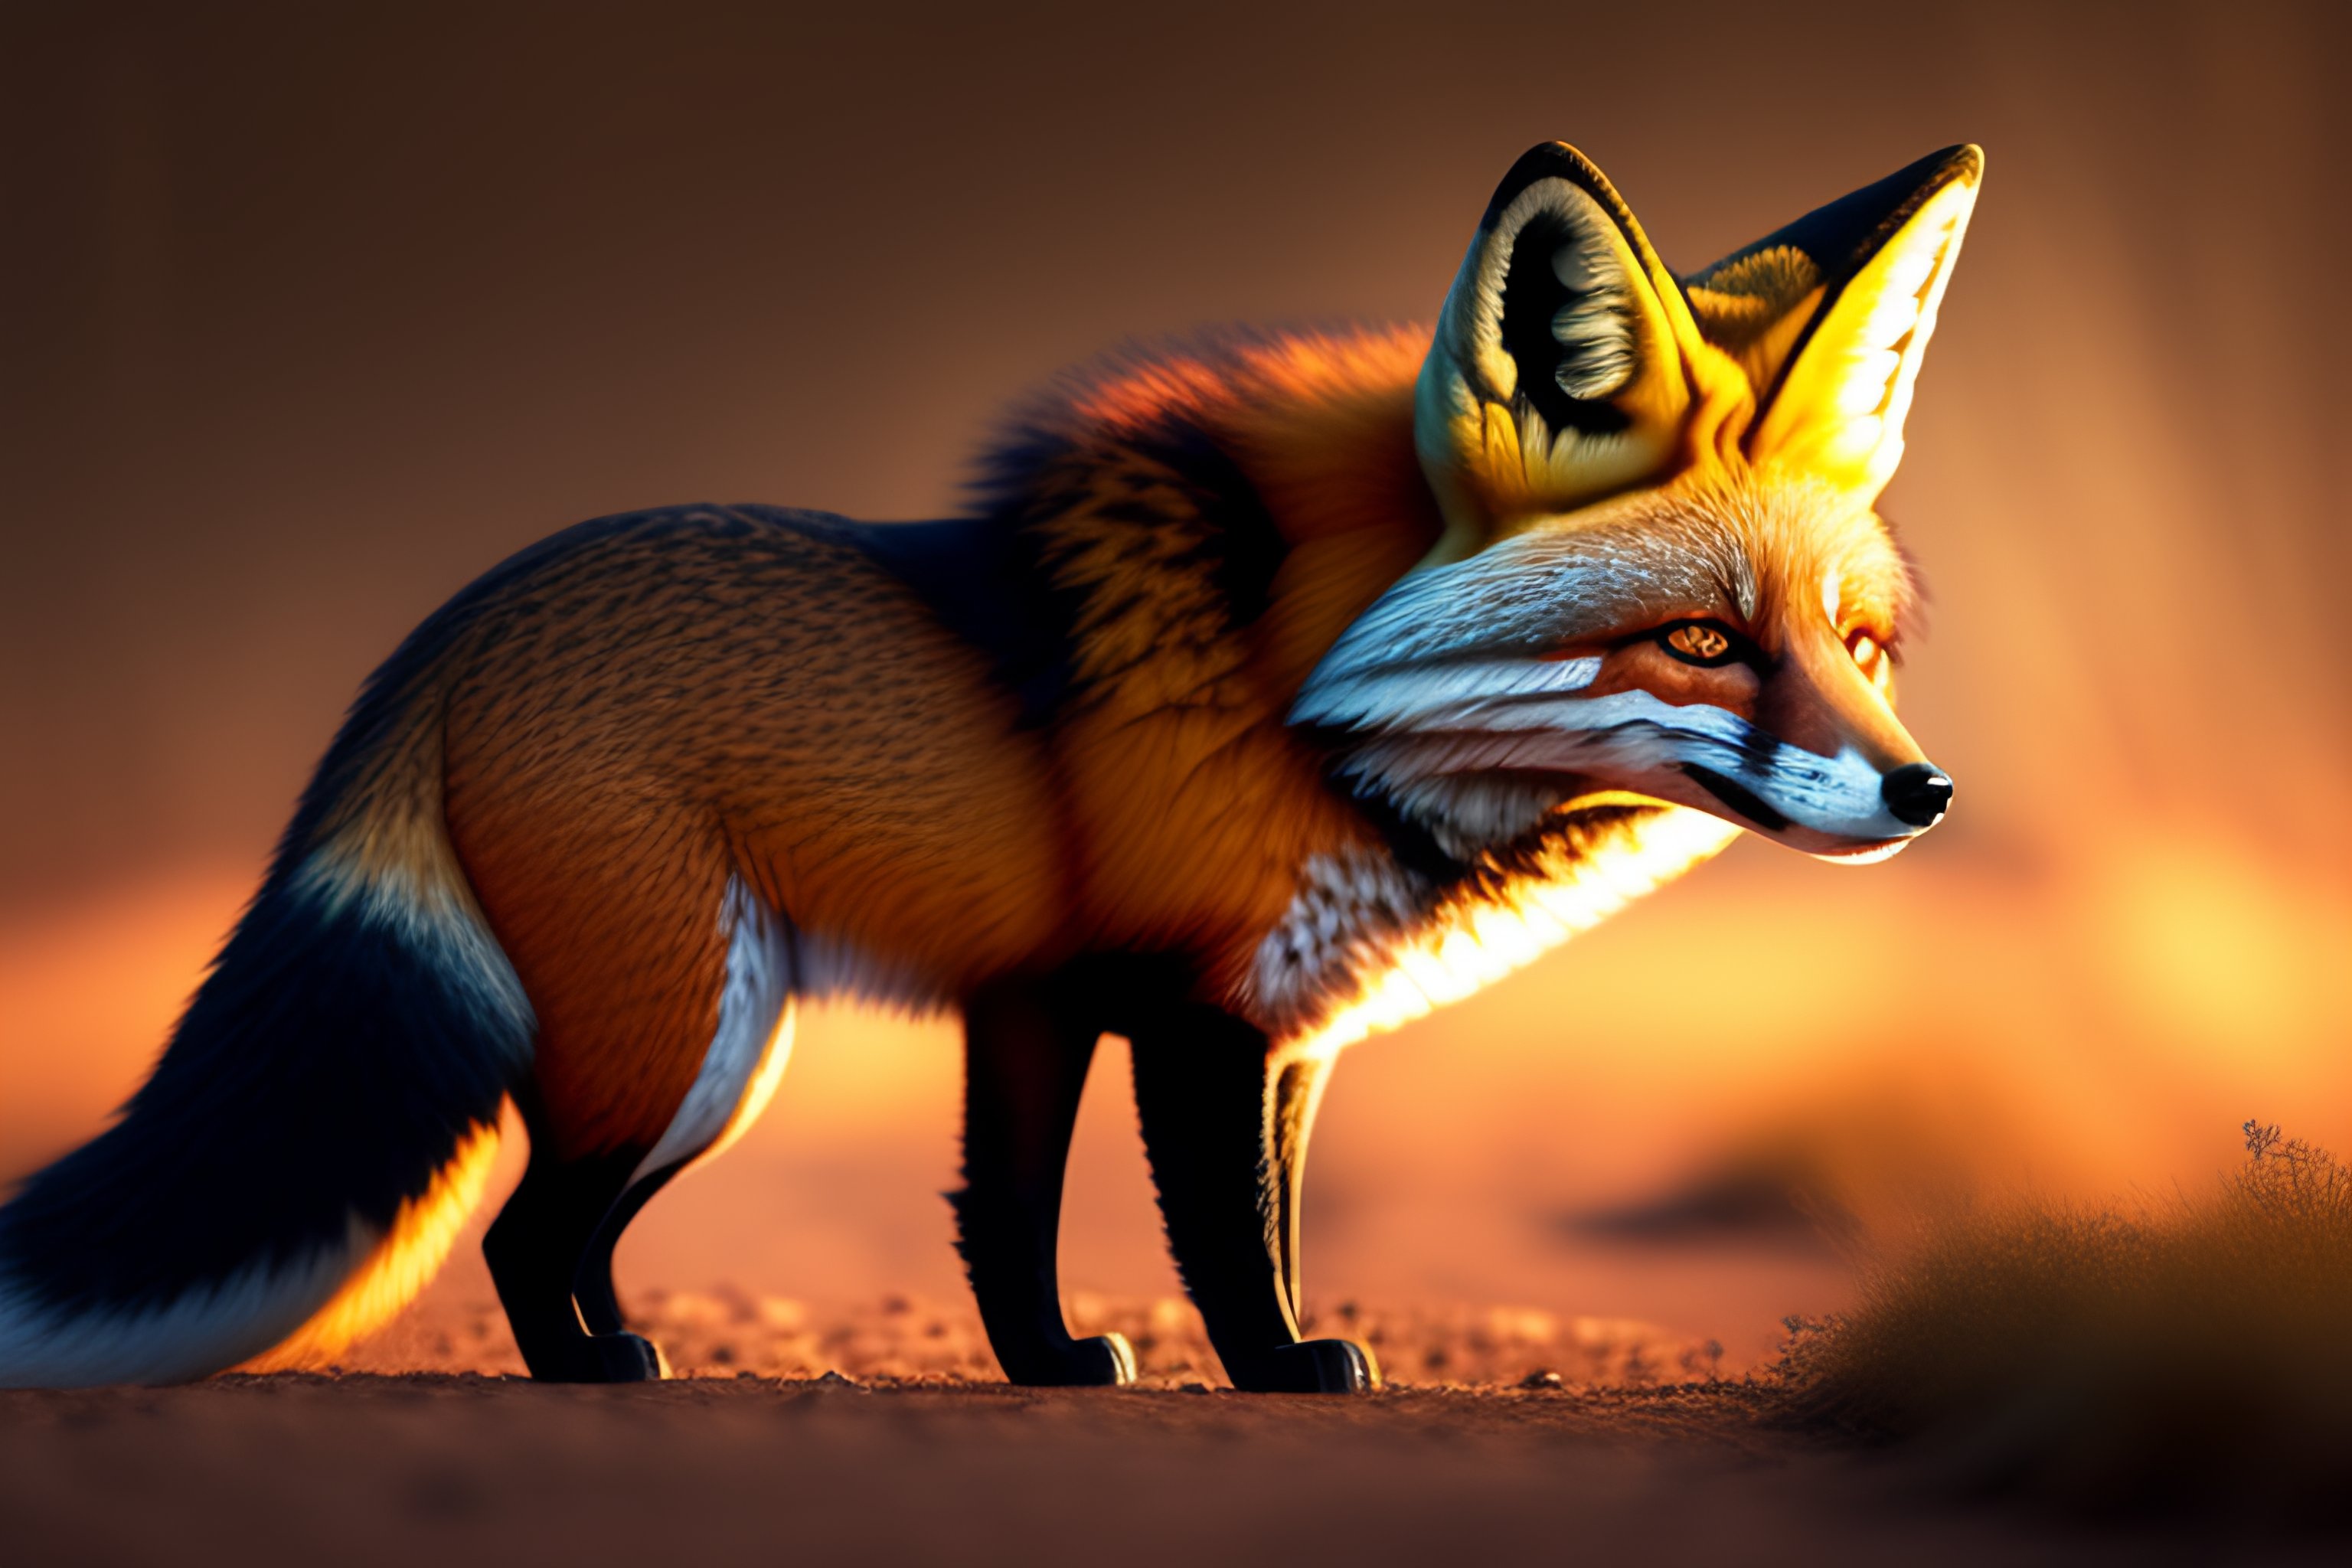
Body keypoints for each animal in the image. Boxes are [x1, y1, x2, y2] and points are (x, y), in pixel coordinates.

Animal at [0, 141, 1978, 1392]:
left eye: (1856, 645)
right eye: (1704, 642)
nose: (1923, 794)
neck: (1295, 685)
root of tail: (440, 636)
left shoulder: (1117, 1006)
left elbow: (1021, 1217)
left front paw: (1048, 1365)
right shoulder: (1188, 1013)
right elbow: (1216, 1233)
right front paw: (1277, 1371)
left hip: (713, 1054)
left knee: (546, 1224)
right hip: (687, 1042)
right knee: (519, 1226)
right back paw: (589, 1370)